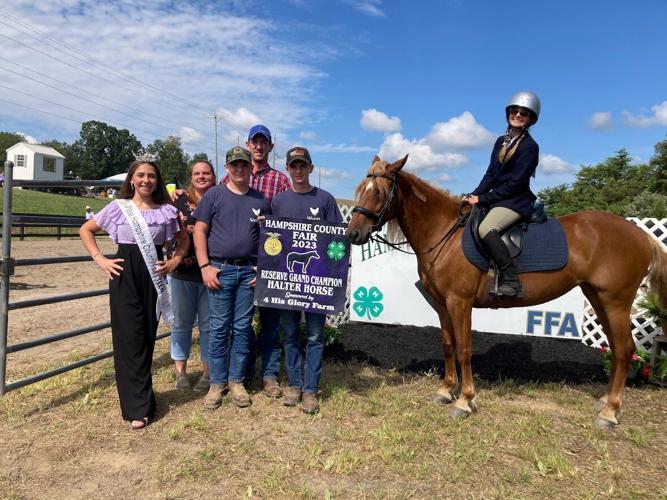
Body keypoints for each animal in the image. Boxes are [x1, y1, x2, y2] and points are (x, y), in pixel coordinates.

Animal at [346, 155, 667, 428]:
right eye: (361, 189)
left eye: (378, 192)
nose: (352, 234)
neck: (444, 233)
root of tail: (642, 235)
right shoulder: (441, 304)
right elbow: (448, 345)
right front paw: (446, 390)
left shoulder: (460, 303)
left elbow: (464, 349)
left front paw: (465, 400)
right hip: (598, 298)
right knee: (615, 347)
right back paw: (604, 401)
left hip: (616, 301)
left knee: (624, 349)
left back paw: (610, 413)